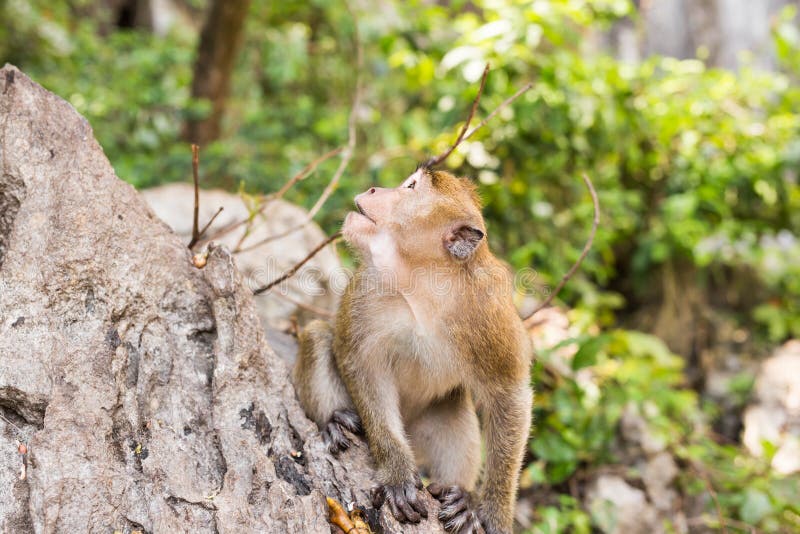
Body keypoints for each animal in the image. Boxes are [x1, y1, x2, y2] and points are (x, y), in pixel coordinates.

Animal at [292, 166, 533, 534]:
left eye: (410, 186)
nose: (374, 189)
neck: (423, 284)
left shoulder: (488, 312)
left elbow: (509, 394)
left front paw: (492, 512)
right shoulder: (368, 289)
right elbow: (364, 367)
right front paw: (397, 474)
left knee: (455, 406)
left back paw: (459, 495)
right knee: (318, 335)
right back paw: (334, 420)